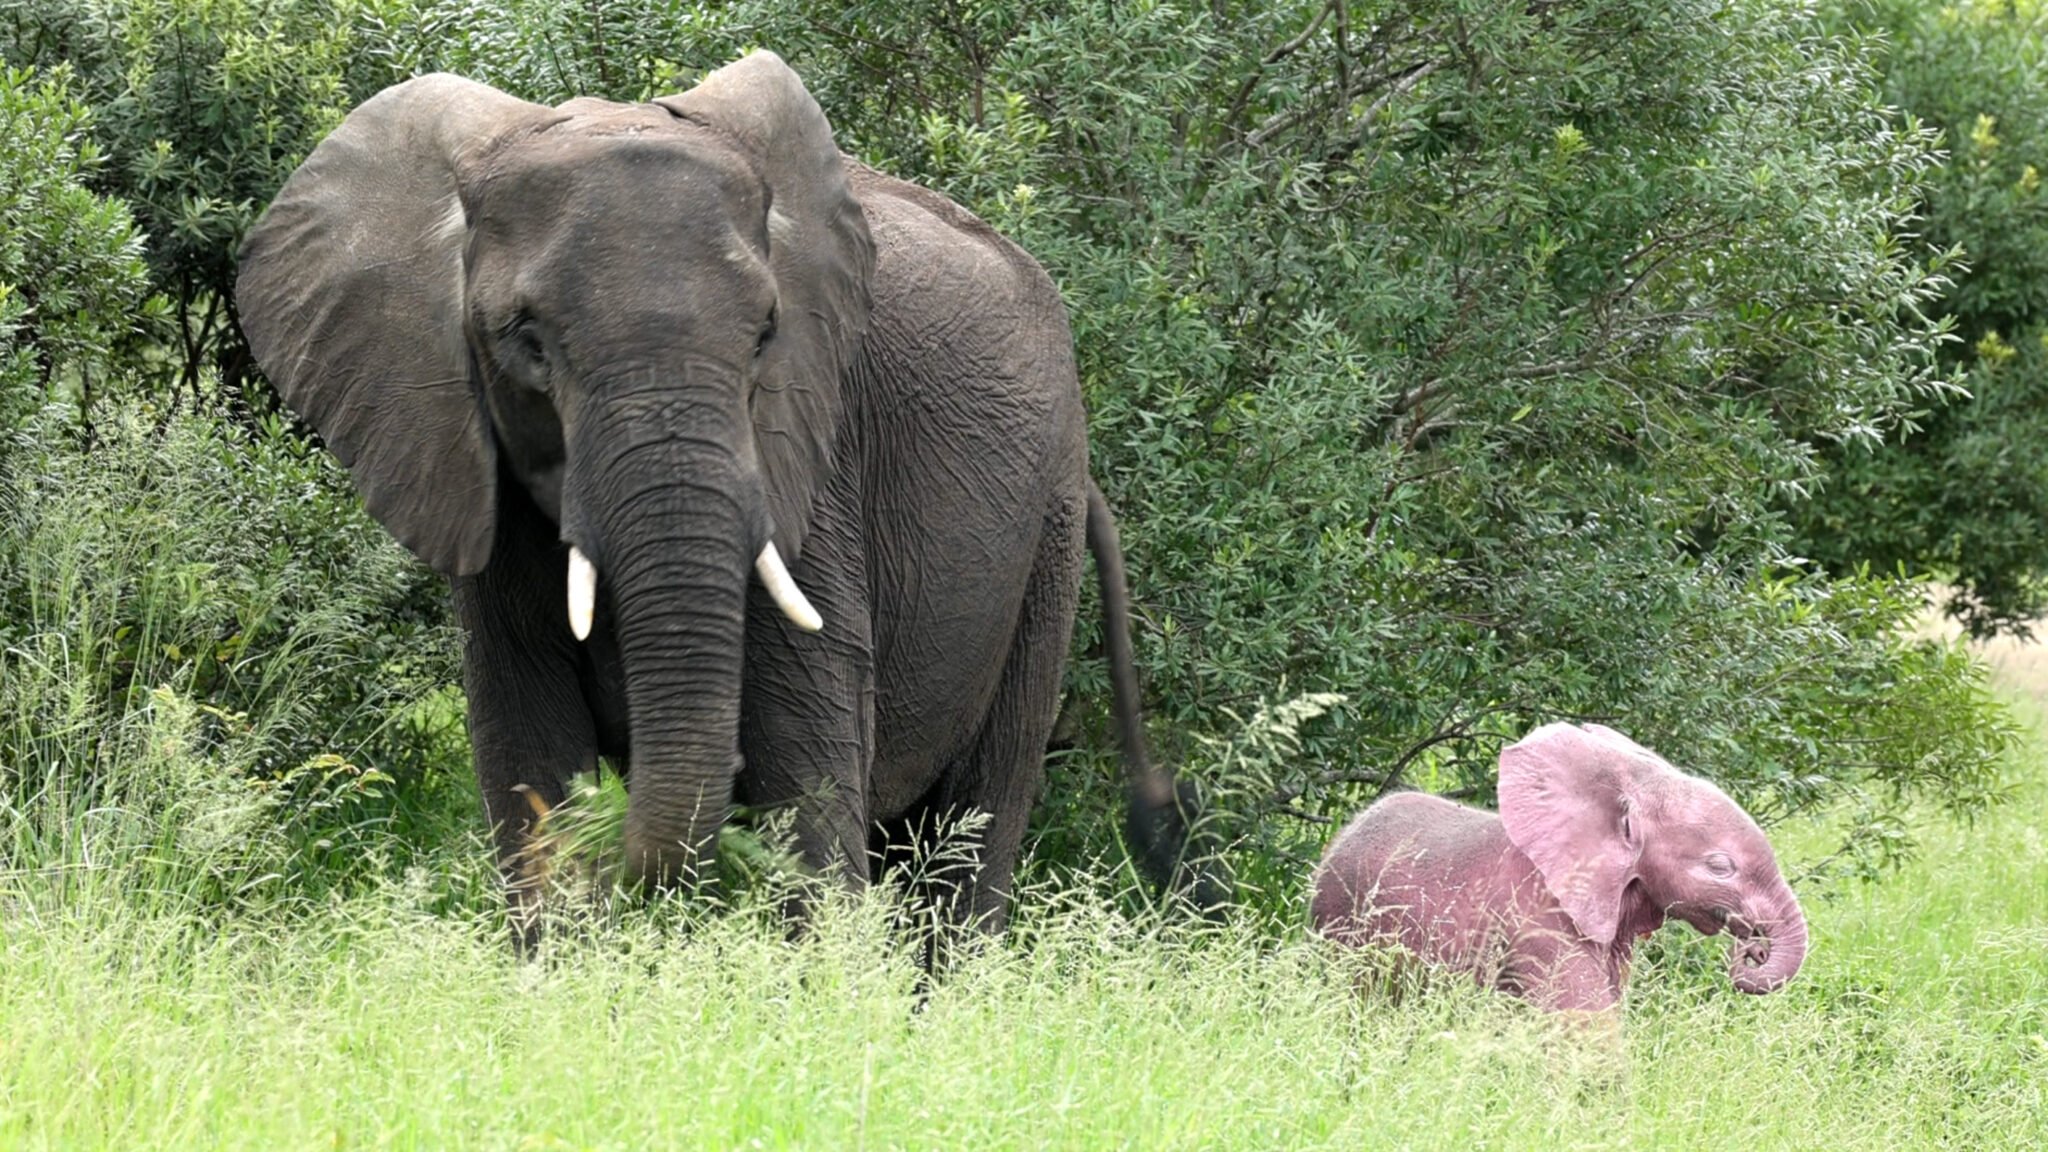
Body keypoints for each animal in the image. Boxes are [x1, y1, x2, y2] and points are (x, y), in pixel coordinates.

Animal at [234, 51, 1212, 934]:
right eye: (525, 340)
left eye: (765, 334)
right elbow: (528, 766)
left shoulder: (812, 460)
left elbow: (805, 782)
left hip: (1045, 532)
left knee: (968, 837)